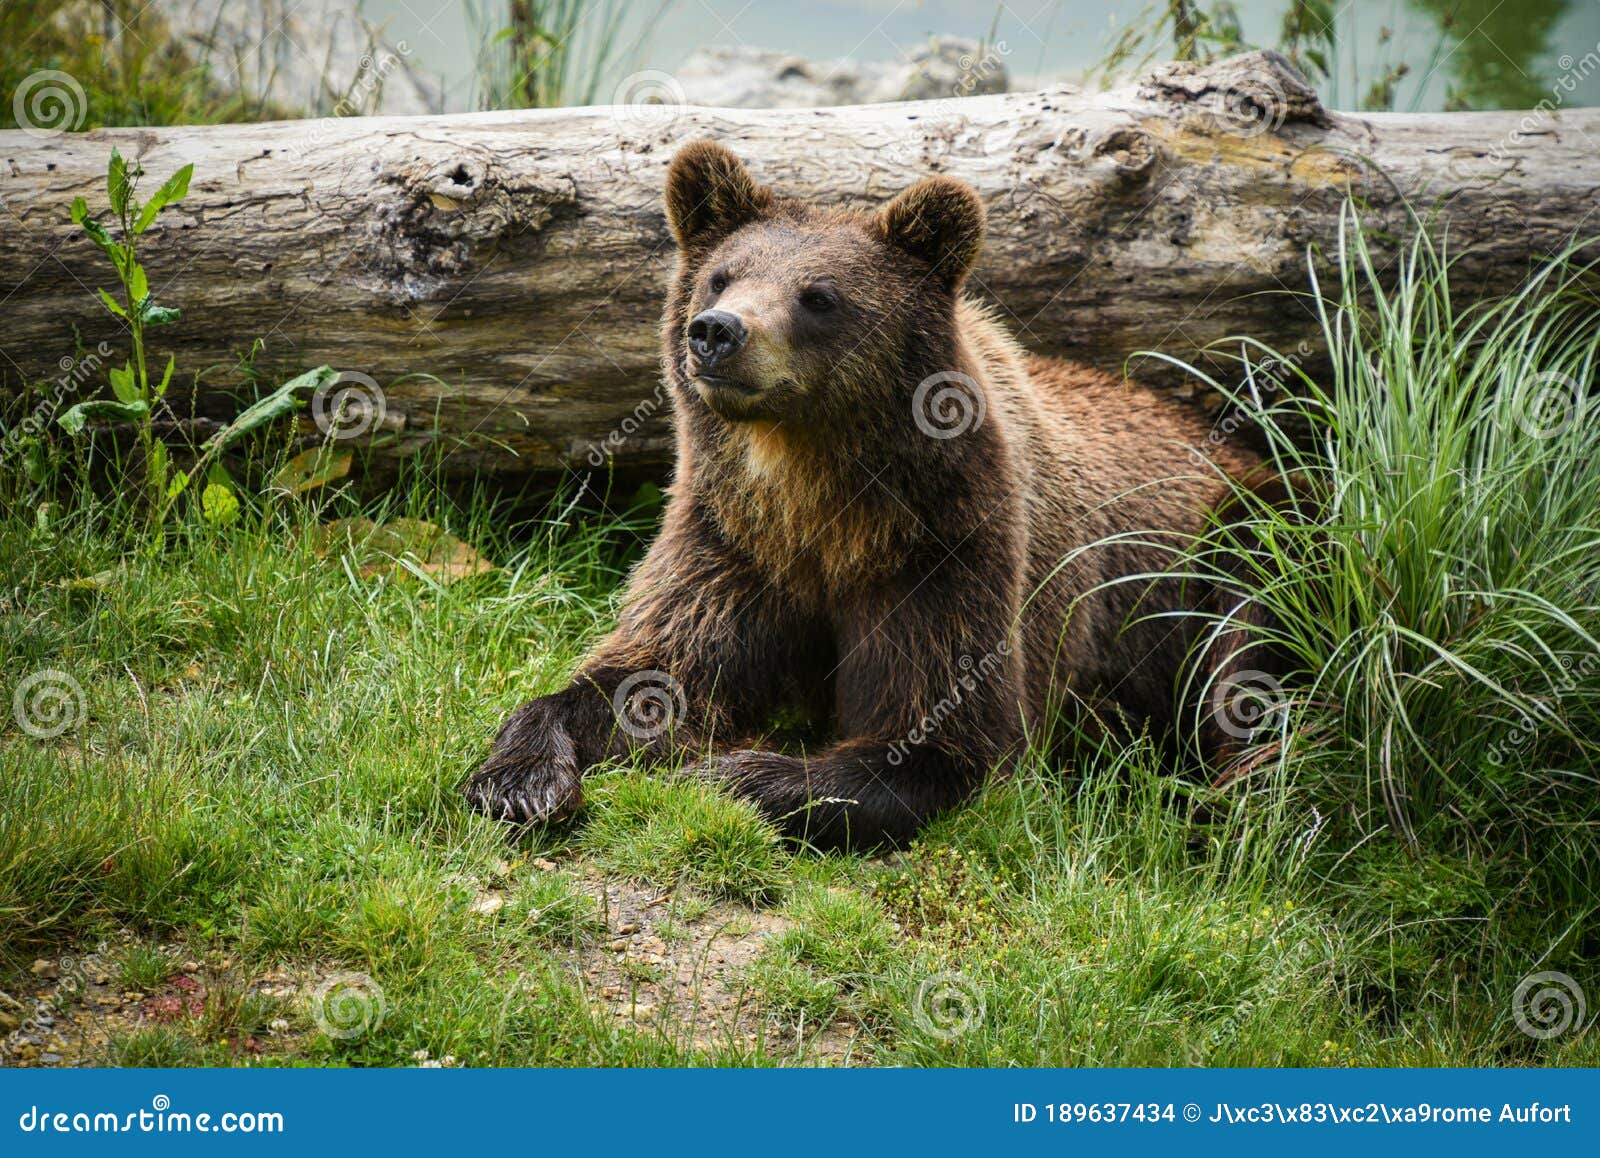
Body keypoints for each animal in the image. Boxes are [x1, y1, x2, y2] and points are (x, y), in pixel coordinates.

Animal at [464, 140, 1271, 850]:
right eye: (723, 275)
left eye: (818, 295)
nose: (716, 332)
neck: (815, 498)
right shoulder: (730, 541)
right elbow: (645, 674)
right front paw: (520, 781)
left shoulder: (943, 550)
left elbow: (935, 739)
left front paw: (721, 774)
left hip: (1235, 528)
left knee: (1253, 659)